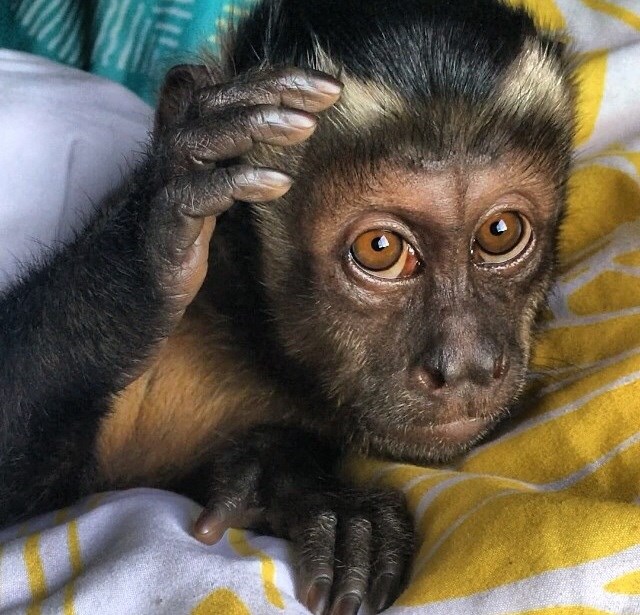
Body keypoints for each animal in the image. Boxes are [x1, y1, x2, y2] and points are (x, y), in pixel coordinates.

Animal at [0, 0, 575, 613]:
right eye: (380, 249)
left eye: (499, 232)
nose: (467, 364)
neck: (257, 344)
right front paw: (149, 242)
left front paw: (303, 487)